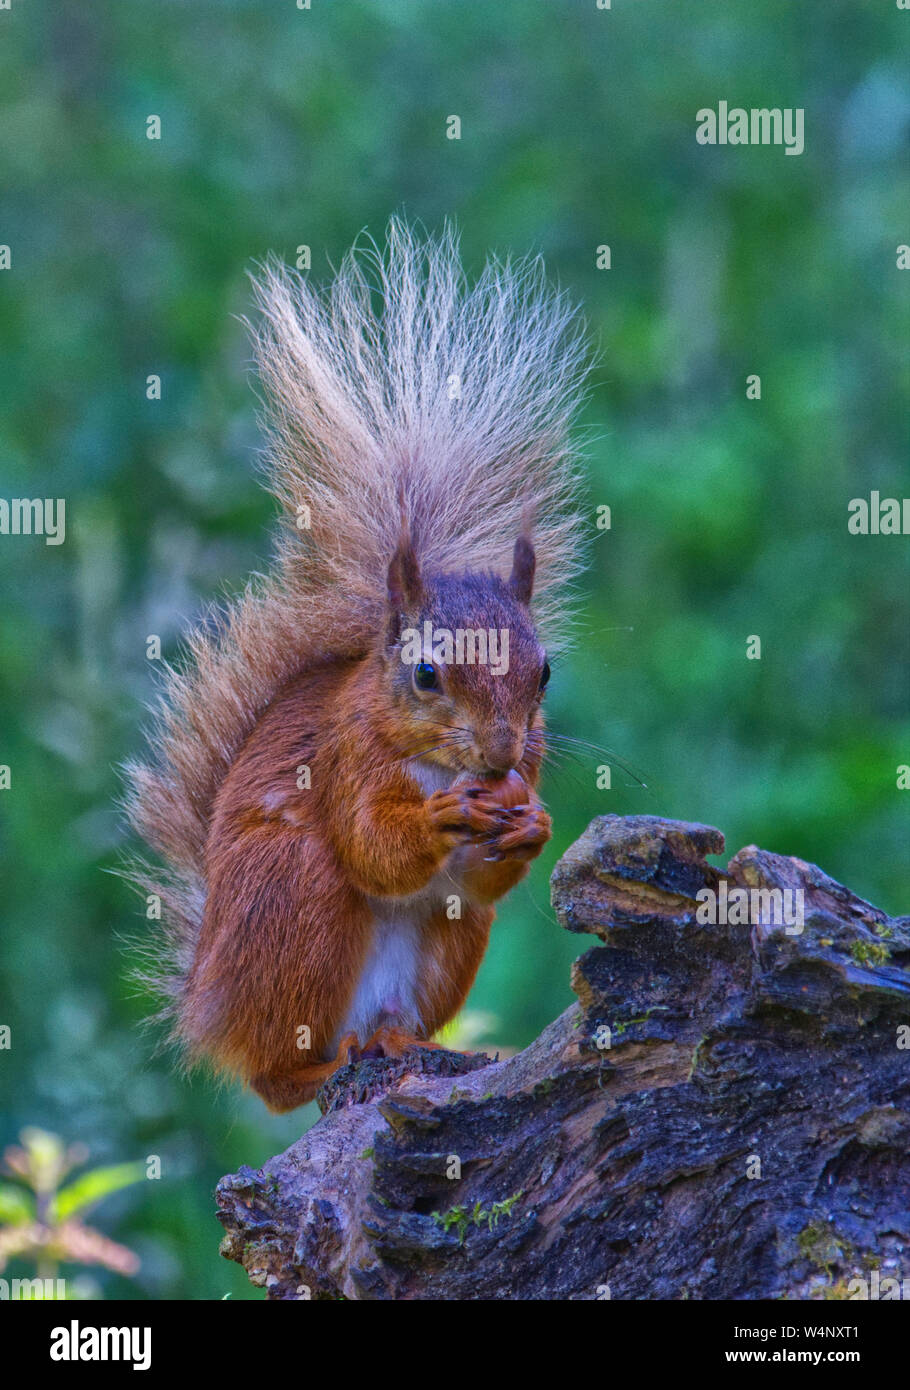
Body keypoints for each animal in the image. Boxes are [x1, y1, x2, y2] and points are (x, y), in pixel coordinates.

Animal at [126, 220, 589, 1111]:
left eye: (546, 673)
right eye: (427, 676)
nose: (503, 755)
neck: (441, 764)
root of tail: (207, 1001)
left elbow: (483, 878)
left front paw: (535, 825)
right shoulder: (341, 760)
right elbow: (373, 846)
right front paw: (436, 822)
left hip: (444, 950)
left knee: (420, 974)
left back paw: (418, 1046)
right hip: (299, 902)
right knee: (274, 1080)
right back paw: (322, 1065)